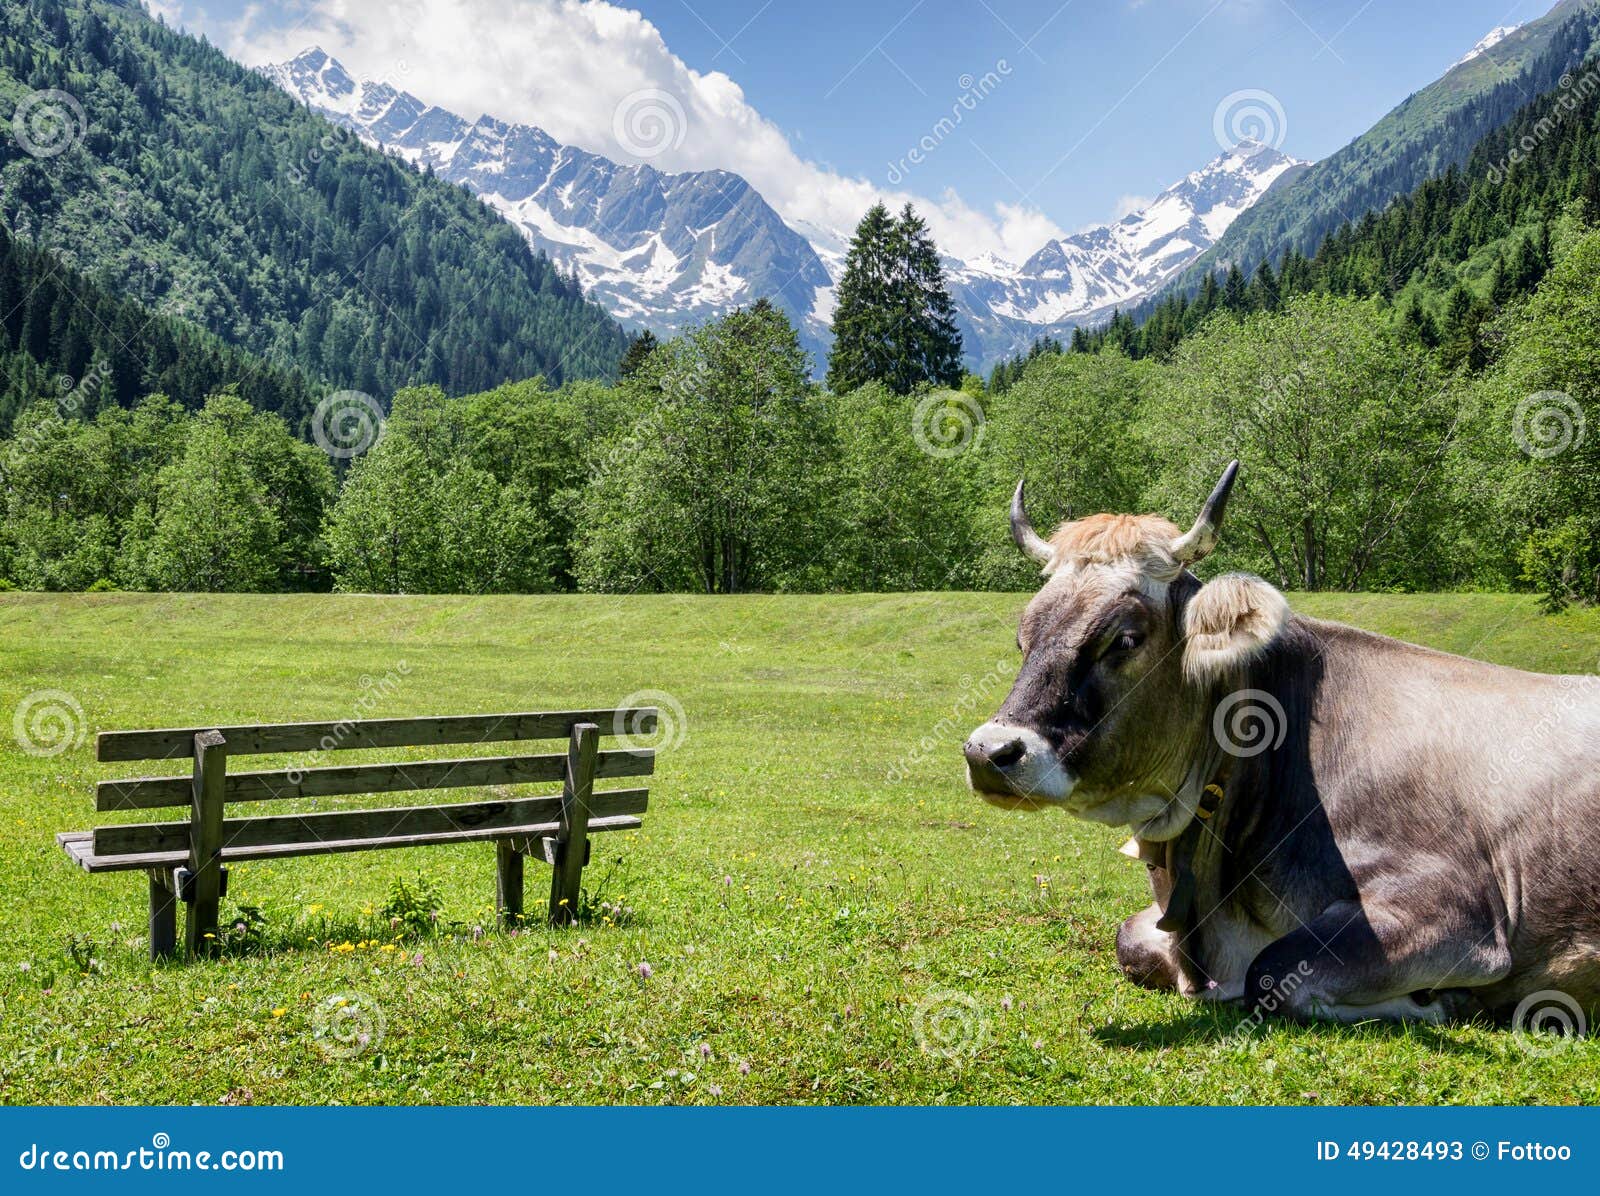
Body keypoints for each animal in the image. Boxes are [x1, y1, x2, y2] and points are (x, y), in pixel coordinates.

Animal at [963, 461, 1600, 1026]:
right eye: (1025, 635)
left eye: (1126, 638)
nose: (990, 753)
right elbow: (1132, 940)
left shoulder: (1455, 907)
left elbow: (1273, 971)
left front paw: (1443, 1002)